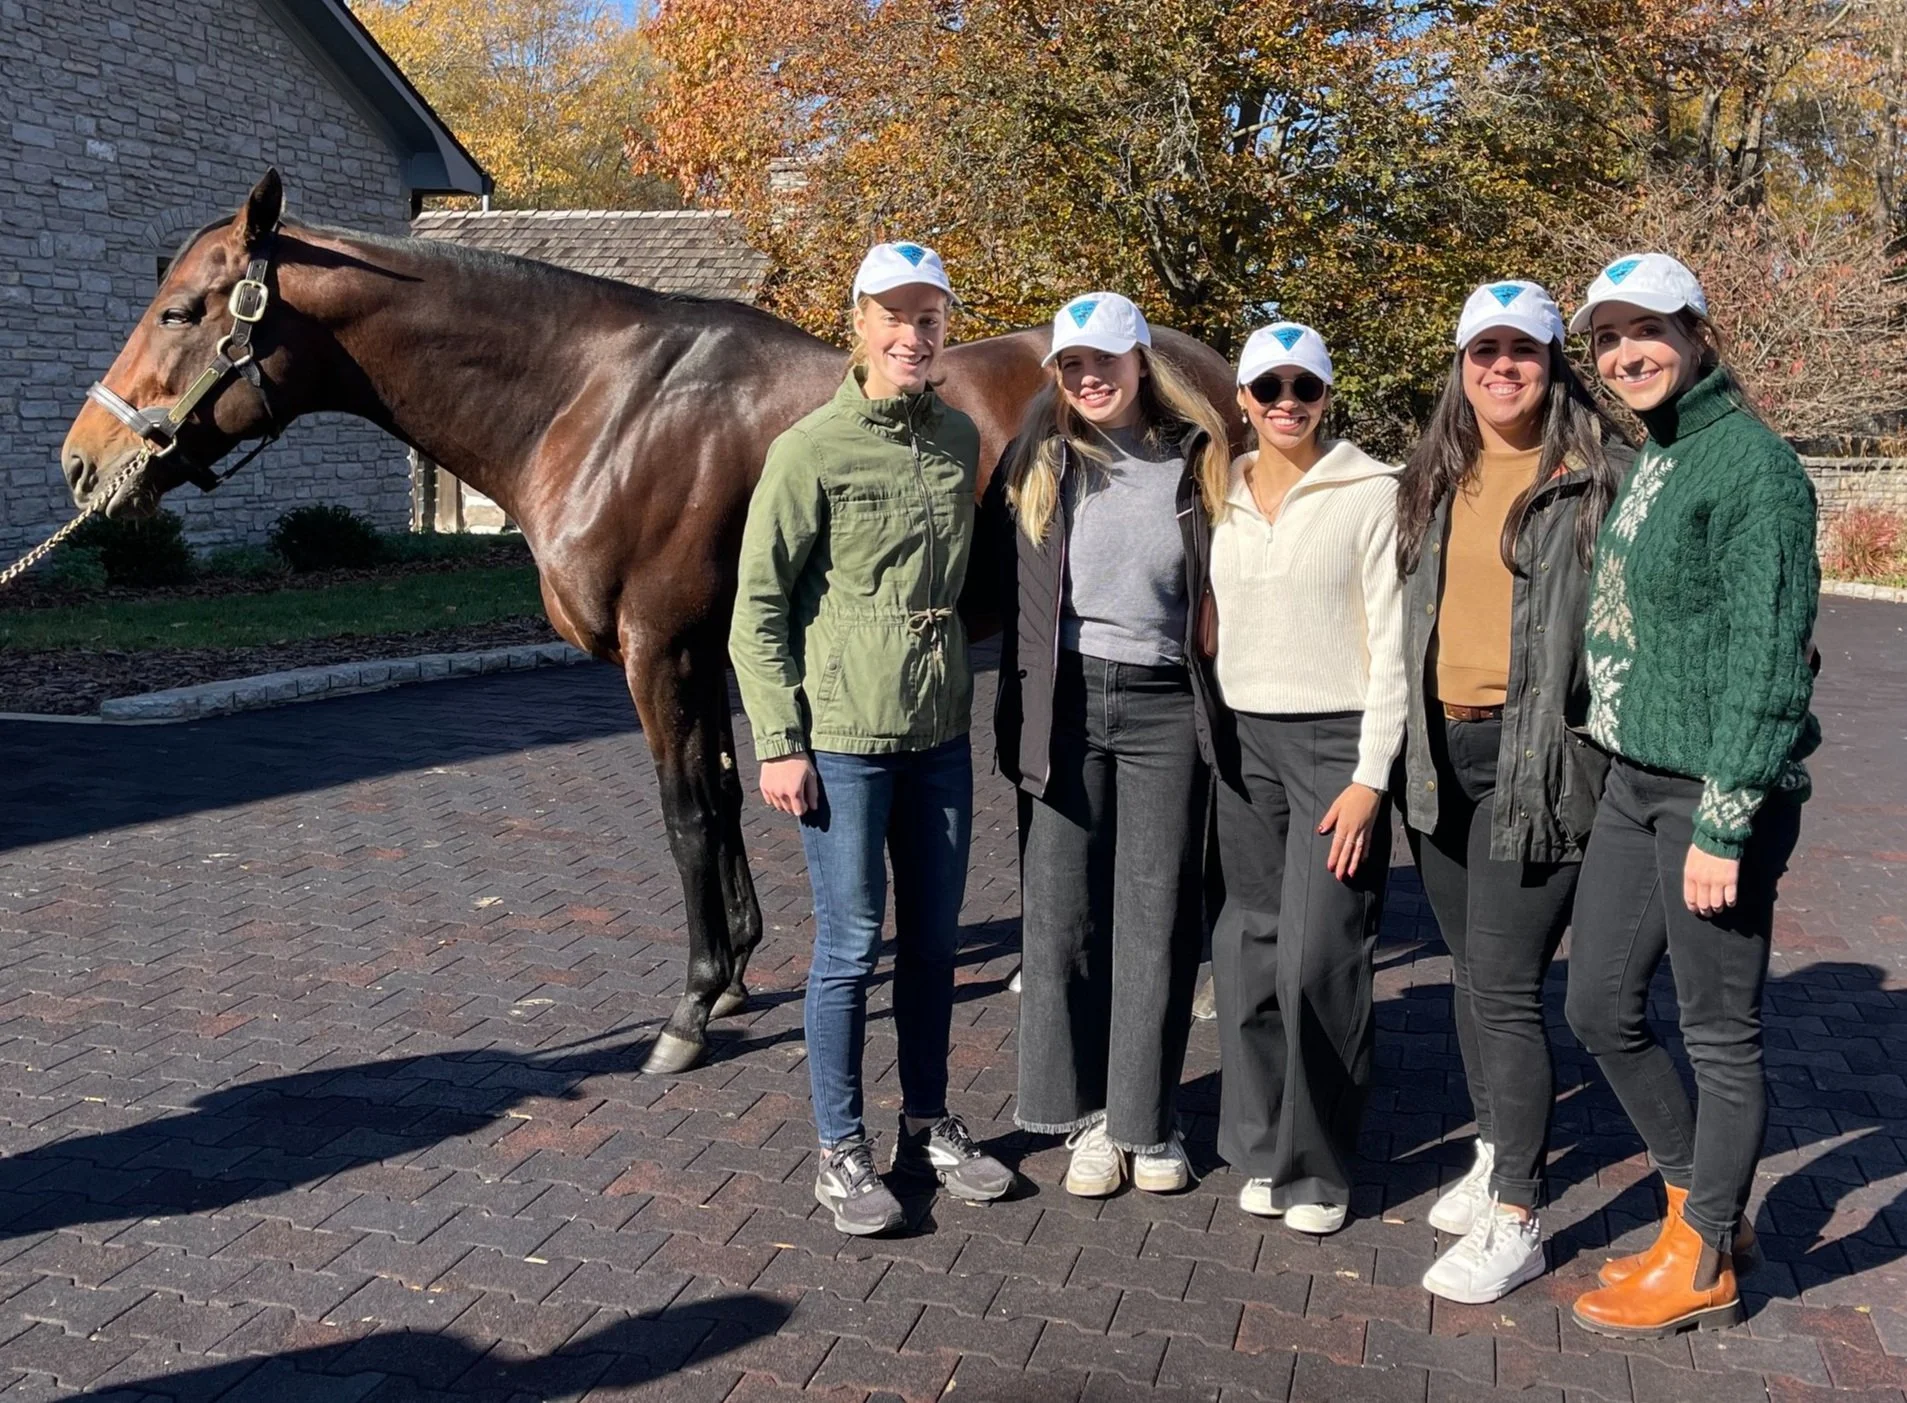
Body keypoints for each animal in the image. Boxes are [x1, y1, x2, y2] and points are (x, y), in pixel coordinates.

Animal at [59, 170, 1244, 1075]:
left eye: (180, 310)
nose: (83, 462)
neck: (597, 403)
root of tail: (1213, 370)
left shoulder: (655, 646)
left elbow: (683, 814)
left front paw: (688, 1010)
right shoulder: (710, 649)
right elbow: (720, 797)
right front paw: (734, 976)